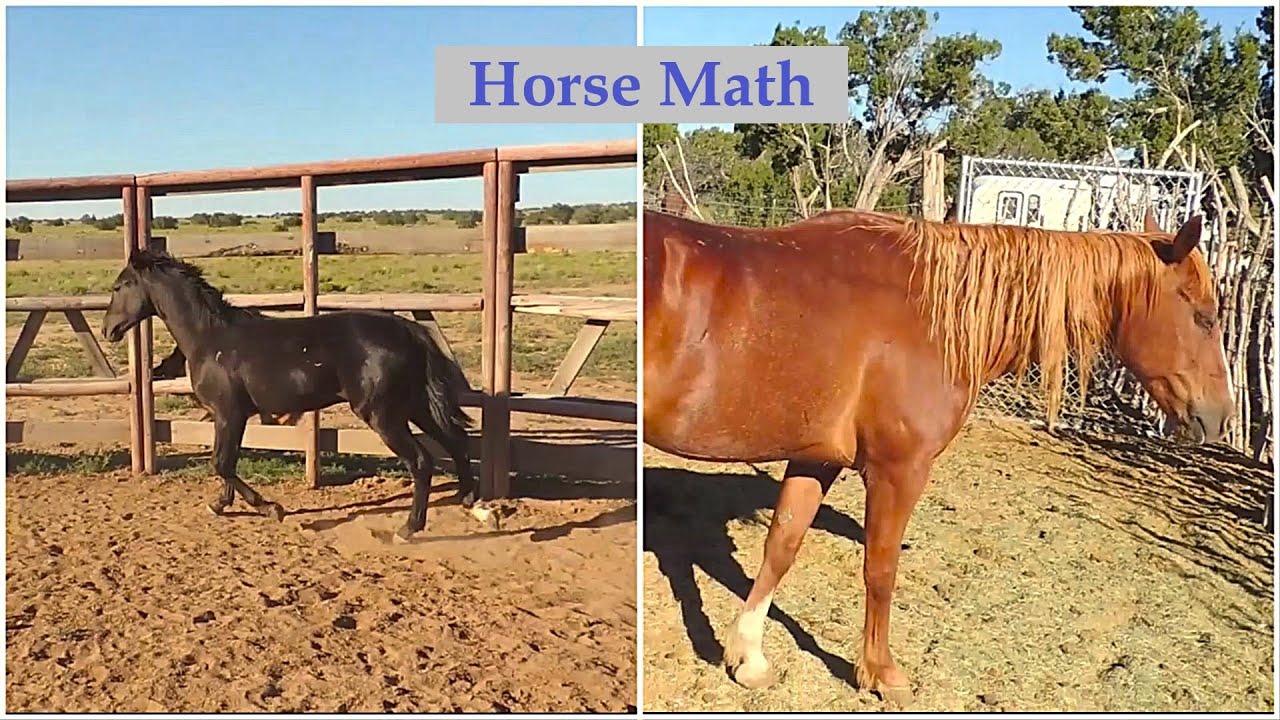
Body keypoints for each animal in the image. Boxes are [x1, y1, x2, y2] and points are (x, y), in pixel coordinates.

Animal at [101, 249, 490, 539]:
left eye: (120, 286)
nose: (108, 330)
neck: (211, 340)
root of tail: (409, 331)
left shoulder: (231, 413)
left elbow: (222, 462)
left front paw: (270, 508)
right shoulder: (227, 416)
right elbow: (223, 462)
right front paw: (220, 504)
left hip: (384, 415)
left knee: (422, 461)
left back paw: (408, 528)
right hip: (415, 406)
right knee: (456, 440)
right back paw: (468, 499)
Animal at [642, 207, 1233, 703]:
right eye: (1204, 316)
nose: (1220, 417)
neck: (930, 311)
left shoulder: (816, 458)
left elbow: (781, 547)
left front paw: (747, 657)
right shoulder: (899, 469)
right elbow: (880, 569)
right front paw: (881, 674)